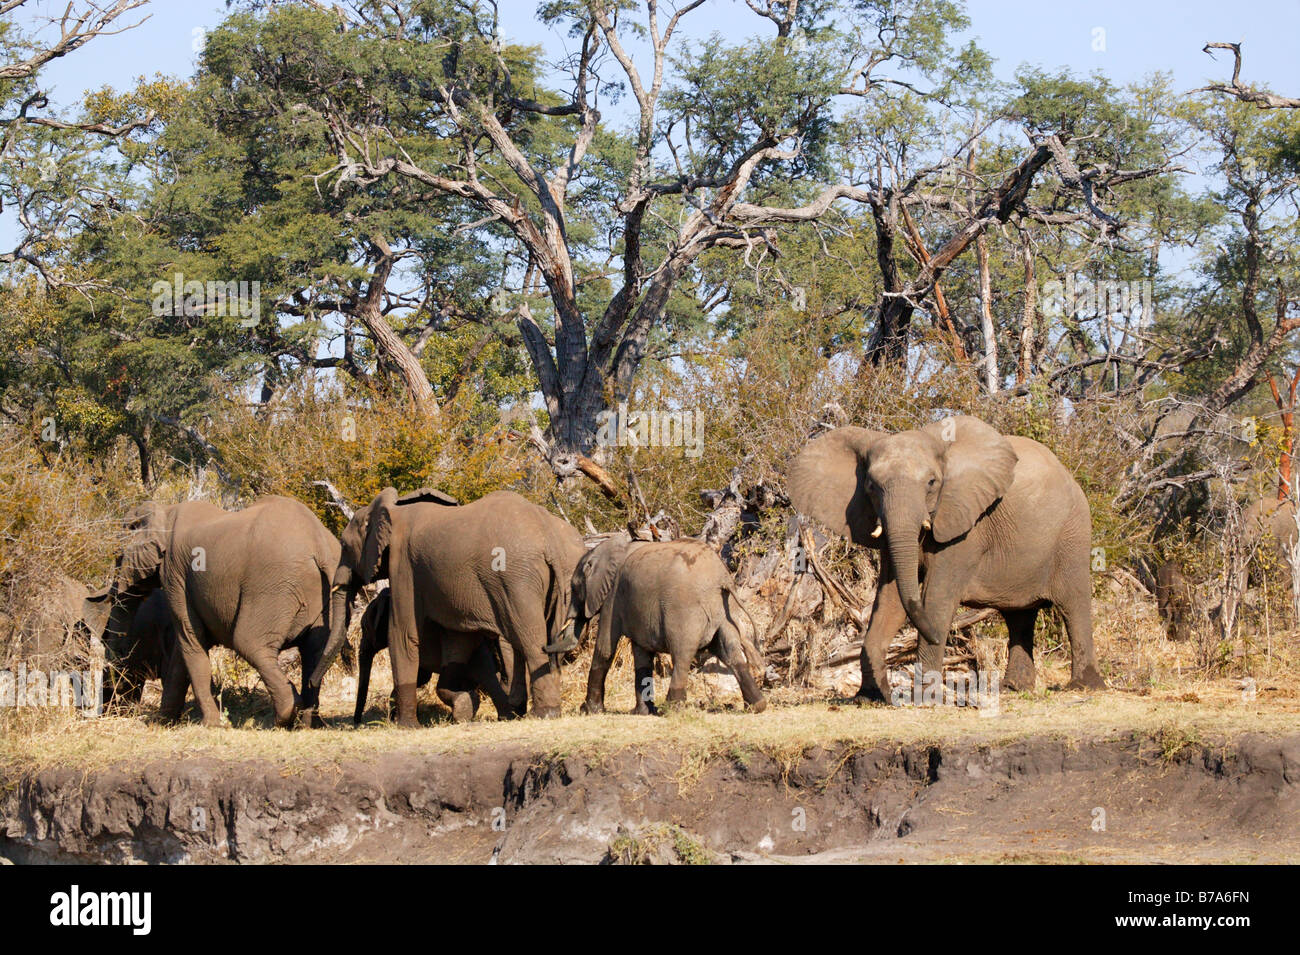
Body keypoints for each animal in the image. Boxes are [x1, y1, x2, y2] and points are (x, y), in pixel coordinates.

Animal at [109, 496, 341, 728]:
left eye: (118, 556)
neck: (166, 512)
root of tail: (320, 544)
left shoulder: (175, 574)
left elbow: (191, 641)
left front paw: (212, 724)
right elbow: (182, 652)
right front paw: (163, 722)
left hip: (273, 587)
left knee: (249, 643)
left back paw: (284, 716)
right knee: (314, 652)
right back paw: (308, 722)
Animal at [354, 587, 518, 724]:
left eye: (364, 628)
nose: (357, 723)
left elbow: (421, 675)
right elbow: (421, 677)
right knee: (486, 672)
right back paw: (504, 715)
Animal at [565, 537, 767, 715]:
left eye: (574, 587)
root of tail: (722, 579)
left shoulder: (611, 598)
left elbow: (605, 650)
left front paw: (588, 711)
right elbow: (642, 655)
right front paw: (642, 713)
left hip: (685, 611)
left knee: (682, 655)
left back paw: (672, 709)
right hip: (725, 612)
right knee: (731, 652)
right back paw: (757, 706)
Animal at [787, 415, 1105, 699]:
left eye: (931, 482)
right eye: (871, 486)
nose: (948, 641)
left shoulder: (965, 527)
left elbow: (936, 598)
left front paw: (924, 696)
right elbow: (890, 599)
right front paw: (870, 697)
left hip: (1073, 533)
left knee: (1073, 603)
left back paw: (1084, 687)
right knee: (1020, 617)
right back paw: (1013, 689)